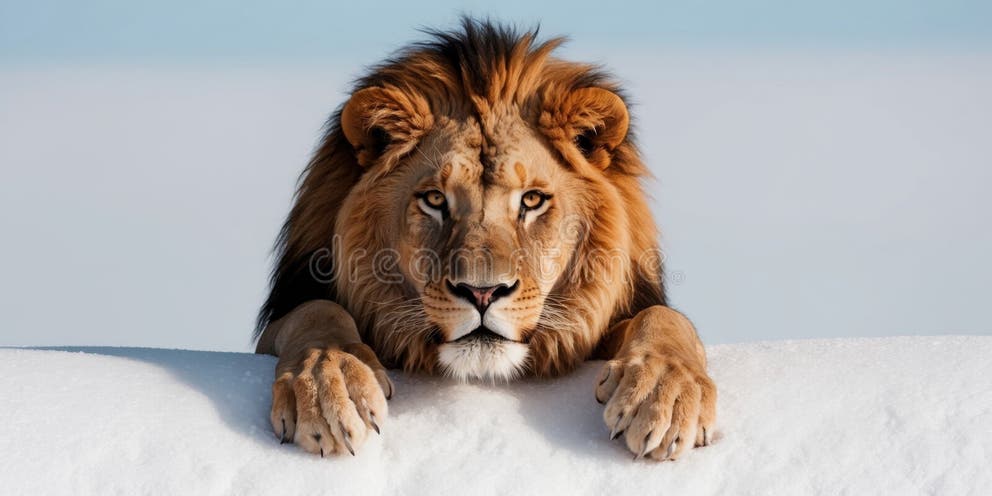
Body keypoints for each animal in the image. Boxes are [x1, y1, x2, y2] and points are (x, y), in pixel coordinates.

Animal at [254, 19, 717, 461]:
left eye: (532, 199)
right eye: (435, 199)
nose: (482, 293)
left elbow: (664, 318)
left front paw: (663, 397)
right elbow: (316, 312)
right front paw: (329, 383)